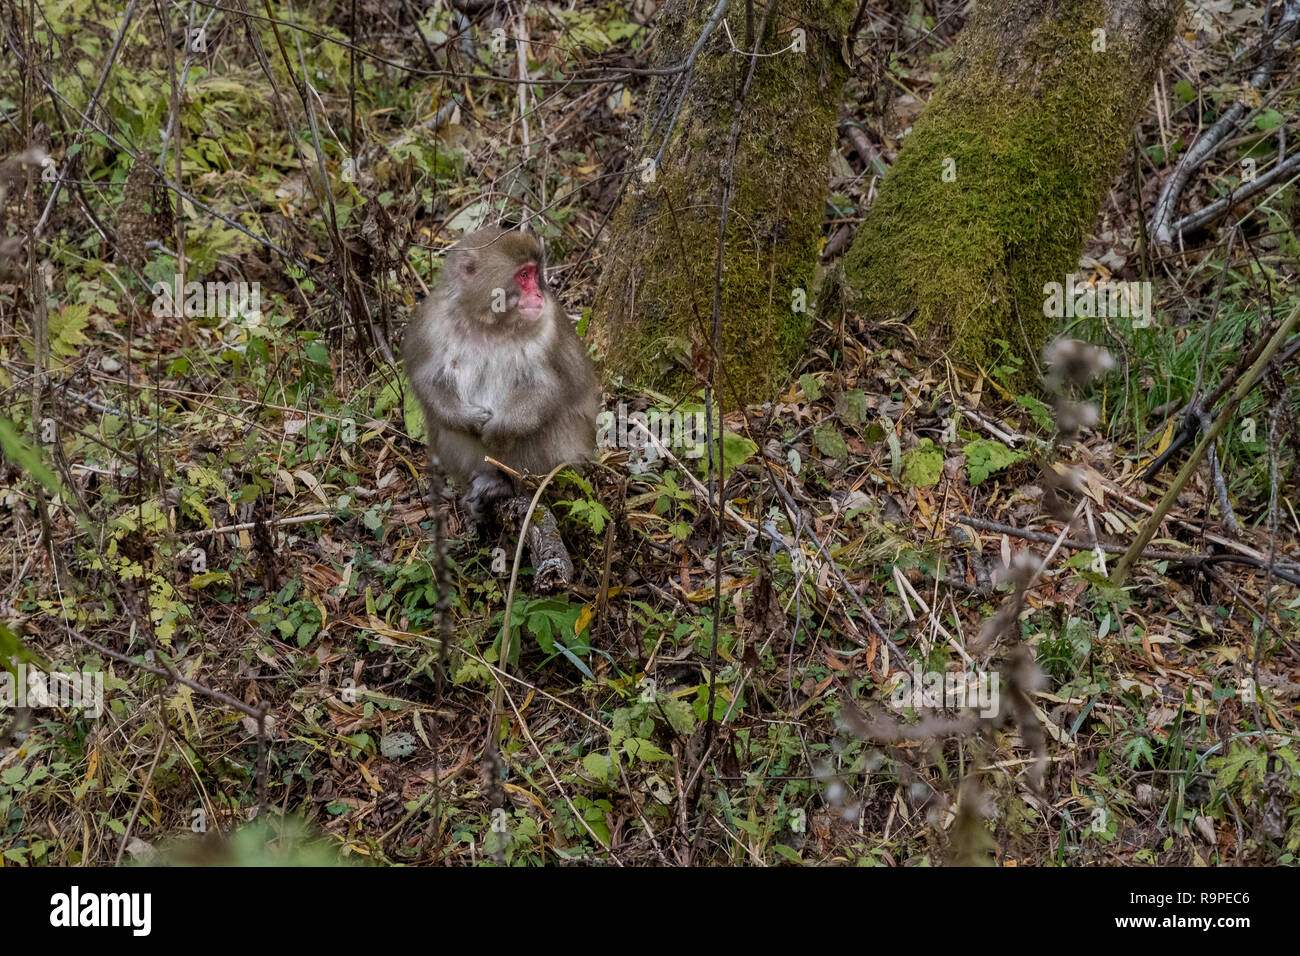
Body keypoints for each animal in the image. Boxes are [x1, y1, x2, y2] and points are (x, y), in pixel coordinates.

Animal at [402, 225, 599, 518]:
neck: (490, 324)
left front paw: (498, 429)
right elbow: (428, 381)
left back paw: (506, 482)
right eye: (524, 275)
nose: (539, 295)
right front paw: (469, 419)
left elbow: (549, 388)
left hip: (569, 455)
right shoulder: (433, 324)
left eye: (534, 274)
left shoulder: (548, 328)